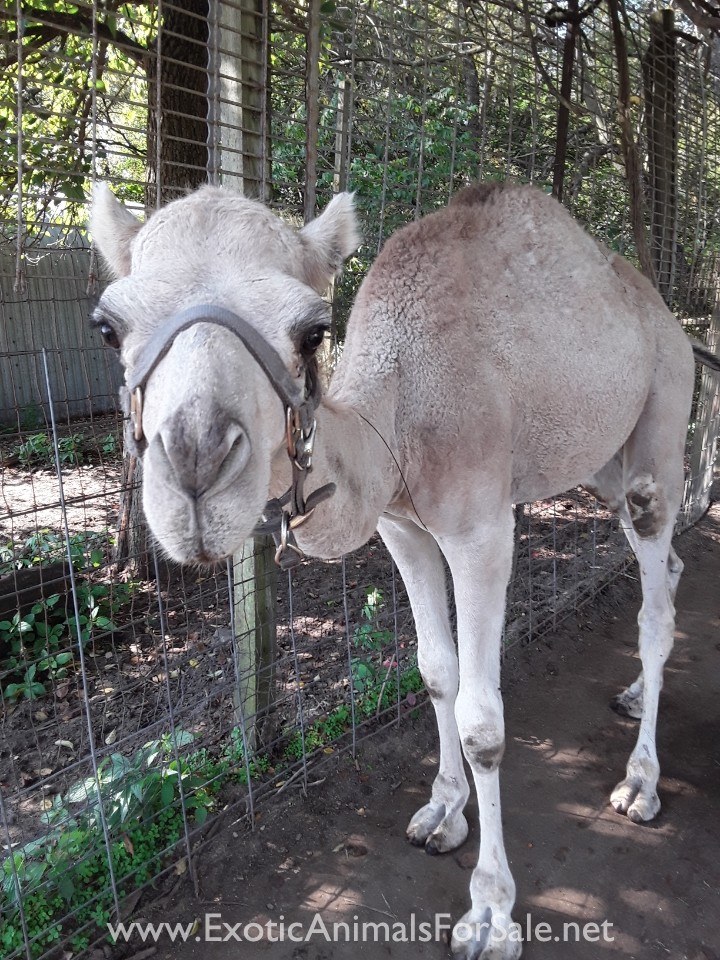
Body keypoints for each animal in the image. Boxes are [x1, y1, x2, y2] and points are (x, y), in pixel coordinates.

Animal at [90, 181, 719, 959]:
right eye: (108, 327)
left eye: (312, 330)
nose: (197, 466)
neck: (399, 417)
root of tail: (673, 324)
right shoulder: (402, 528)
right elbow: (434, 671)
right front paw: (444, 811)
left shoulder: (481, 531)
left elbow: (484, 722)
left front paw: (491, 914)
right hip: (603, 460)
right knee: (670, 562)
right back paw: (633, 696)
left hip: (661, 419)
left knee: (657, 596)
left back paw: (640, 781)